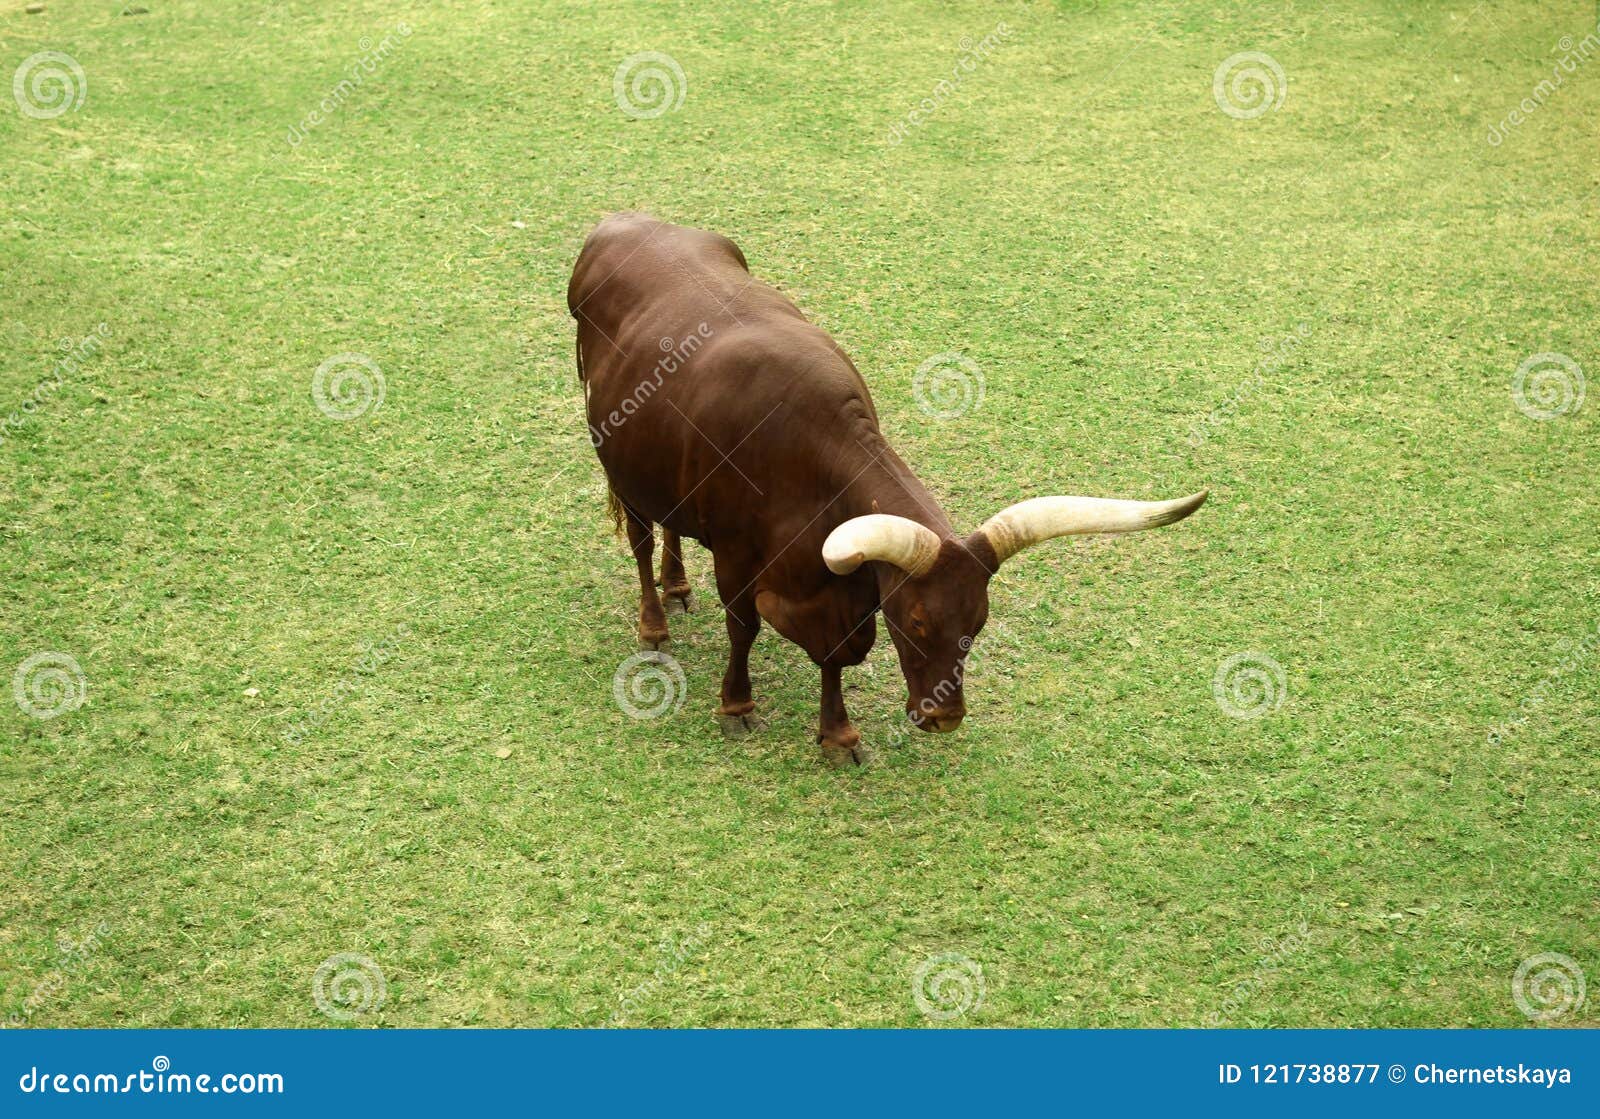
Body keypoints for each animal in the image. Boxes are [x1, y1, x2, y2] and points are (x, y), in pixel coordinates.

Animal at [568, 214, 1205, 766]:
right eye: (918, 622)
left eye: (978, 623)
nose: (945, 717)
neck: (804, 461)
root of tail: (619, 224)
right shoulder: (737, 559)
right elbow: (743, 628)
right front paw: (737, 704)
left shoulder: (841, 586)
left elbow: (837, 651)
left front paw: (838, 734)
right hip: (619, 468)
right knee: (642, 542)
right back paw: (655, 621)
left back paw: (677, 586)